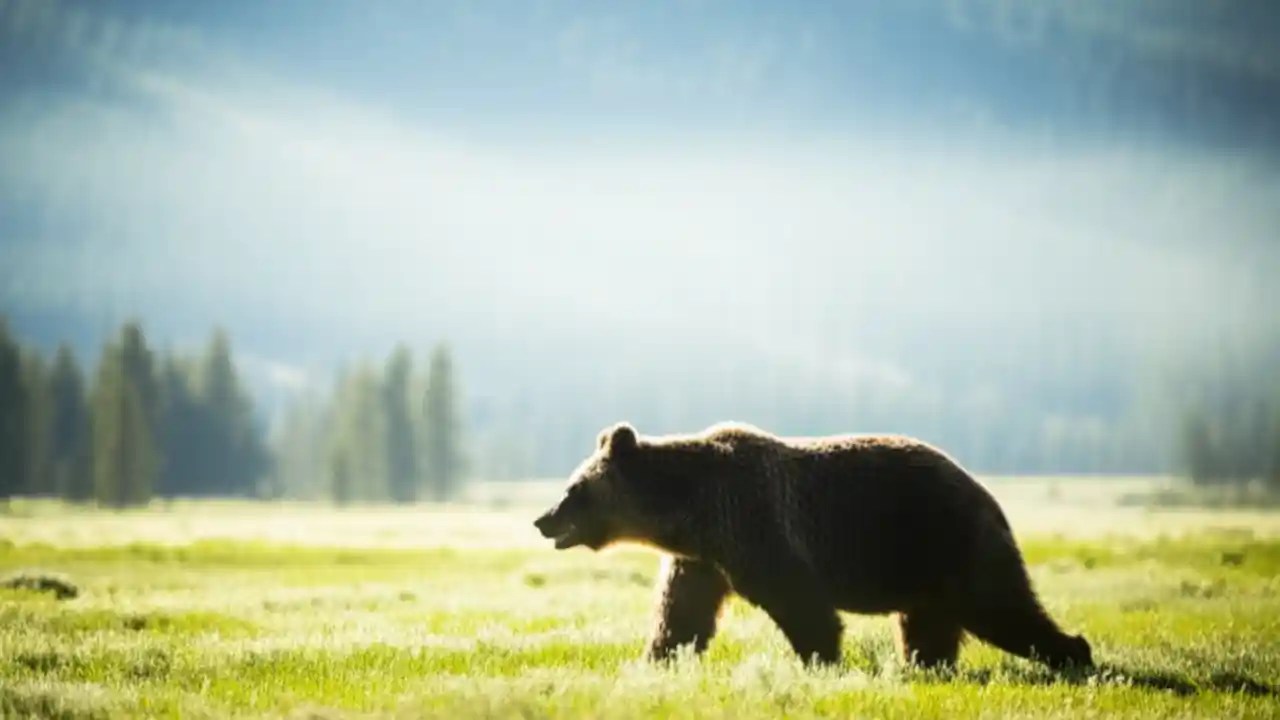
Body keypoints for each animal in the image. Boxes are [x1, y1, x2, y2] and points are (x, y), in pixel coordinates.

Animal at [533, 421, 1093, 670]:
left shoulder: (755, 523)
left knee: (1000, 605)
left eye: (573, 488)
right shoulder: (702, 558)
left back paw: (1075, 654)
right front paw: (658, 657)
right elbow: (683, 613)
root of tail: (984, 490)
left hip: (948, 537)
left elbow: (798, 599)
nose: (542, 519)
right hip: (922, 561)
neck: (689, 510)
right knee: (930, 621)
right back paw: (922, 665)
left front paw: (820, 658)